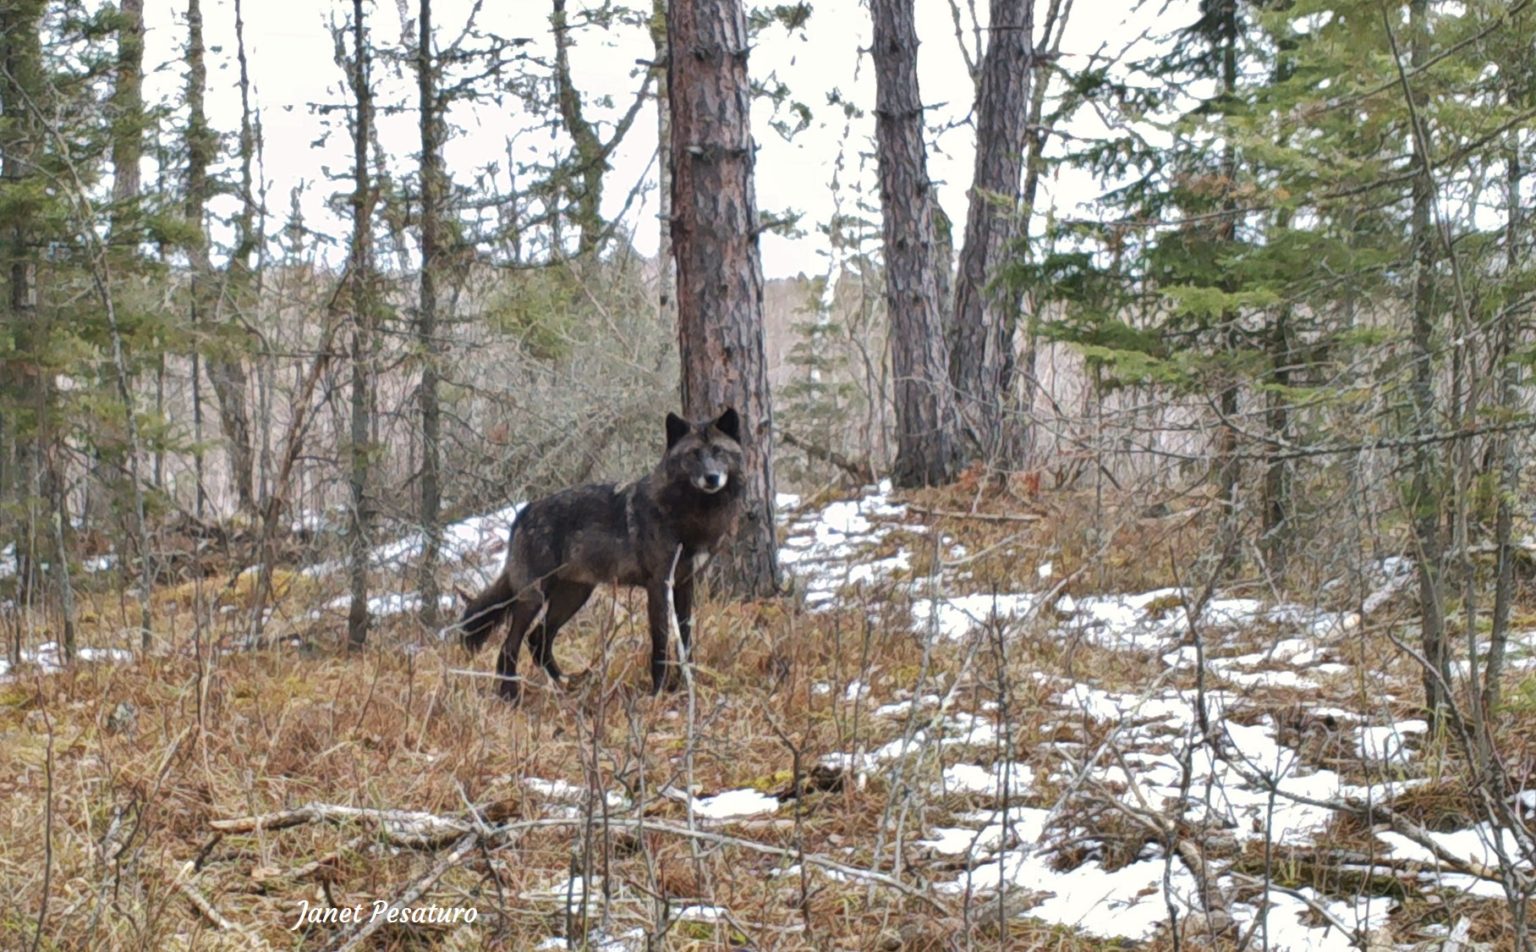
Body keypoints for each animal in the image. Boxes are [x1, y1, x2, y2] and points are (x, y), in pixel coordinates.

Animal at [458, 408, 745, 701]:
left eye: (719, 451)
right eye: (694, 454)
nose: (712, 477)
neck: (692, 514)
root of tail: (525, 510)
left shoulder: (685, 584)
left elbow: (685, 641)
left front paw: (687, 686)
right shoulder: (658, 585)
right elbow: (661, 642)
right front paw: (657, 693)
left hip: (574, 595)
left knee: (538, 640)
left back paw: (566, 685)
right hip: (534, 597)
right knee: (510, 645)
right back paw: (511, 696)